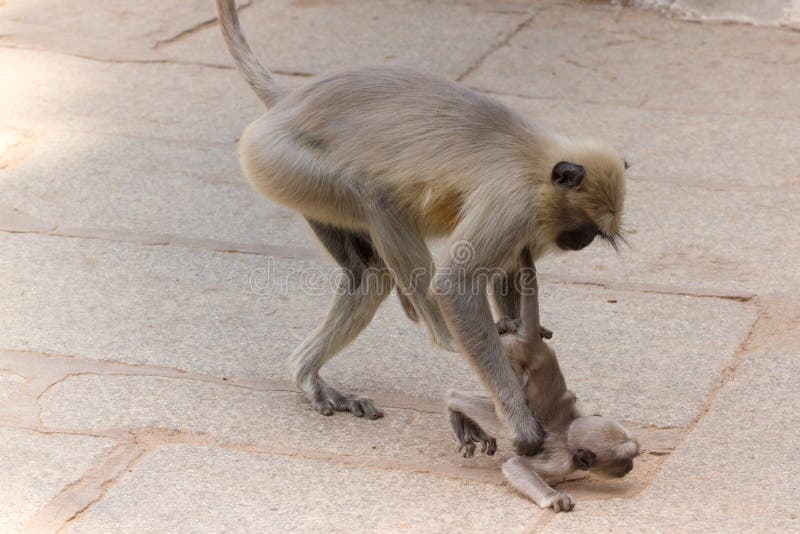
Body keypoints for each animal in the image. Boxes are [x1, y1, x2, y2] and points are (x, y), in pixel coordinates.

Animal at [215, 0, 626, 455]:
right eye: (586, 227)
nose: (582, 241)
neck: (536, 159)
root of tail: (290, 100)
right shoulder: (514, 201)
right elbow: (455, 284)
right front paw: (518, 415)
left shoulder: (528, 217)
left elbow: (508, 268)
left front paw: (515, 328)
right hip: (286, 162)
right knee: (374, 198)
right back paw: (442, 332)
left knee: (368, 275)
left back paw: (310, 374)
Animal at [445, 249, 640, 512]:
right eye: (625, 461)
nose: (631, 467)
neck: (568, 431)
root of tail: (532, 343)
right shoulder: (560, 460)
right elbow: (515, 465)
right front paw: (554, 497)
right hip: (510, 357)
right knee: (504, 412)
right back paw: (454, 401)